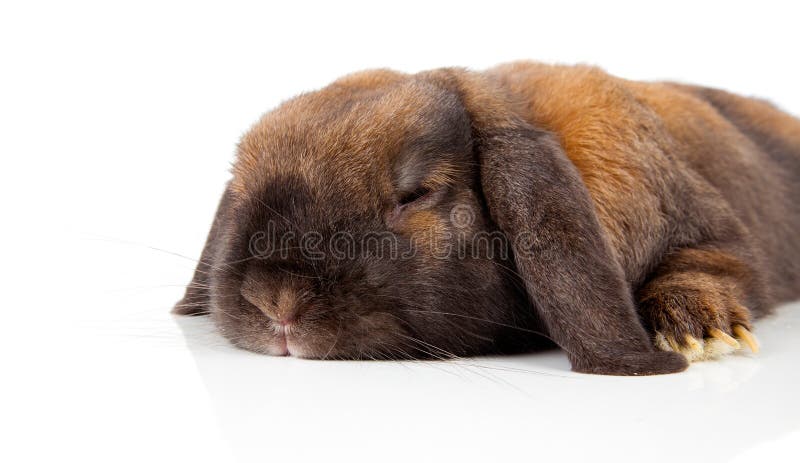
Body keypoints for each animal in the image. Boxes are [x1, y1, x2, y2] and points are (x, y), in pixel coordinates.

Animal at [174, 62, 800, 375]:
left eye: (415, 193)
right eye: (242, 191)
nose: (275, 299)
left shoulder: (720, 238)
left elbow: (713, 268)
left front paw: (702, 336)